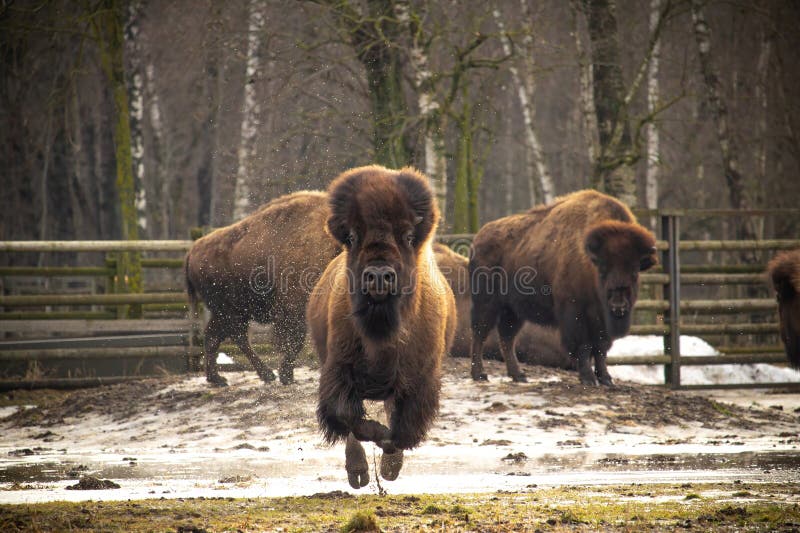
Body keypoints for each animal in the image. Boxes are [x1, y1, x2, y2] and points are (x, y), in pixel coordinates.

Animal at [184, 191, 340, 386]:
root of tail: (192, 251)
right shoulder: (293, 309)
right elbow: (294, 341)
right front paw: (286, 376)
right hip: (230, 312)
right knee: (237, 337)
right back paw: (266, 375)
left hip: (226, 312)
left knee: (213, 337)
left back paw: (217, 379)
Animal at [307, 165, 455, 489]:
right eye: (352, 236)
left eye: (409, 235)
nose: (378, 276)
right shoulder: (338, 369)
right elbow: (350, 418)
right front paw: (379, 443)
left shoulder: (419, 380)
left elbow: (402, 429)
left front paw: (389, 462)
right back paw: (359, 474)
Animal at [469, 189, 658, 386]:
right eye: (603, 269)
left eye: (635, 271)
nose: (618, 305)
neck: (589, 261)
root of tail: (478, 239)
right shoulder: (576, 313)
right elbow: (584, 346)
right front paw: (588, 379)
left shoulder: (601, 321)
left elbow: (601, 349)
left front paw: (606, 379)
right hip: (486, 303)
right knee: (479, 333)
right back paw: (479, 374)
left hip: (513, 310)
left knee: (507, 338)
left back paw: (518, 375)